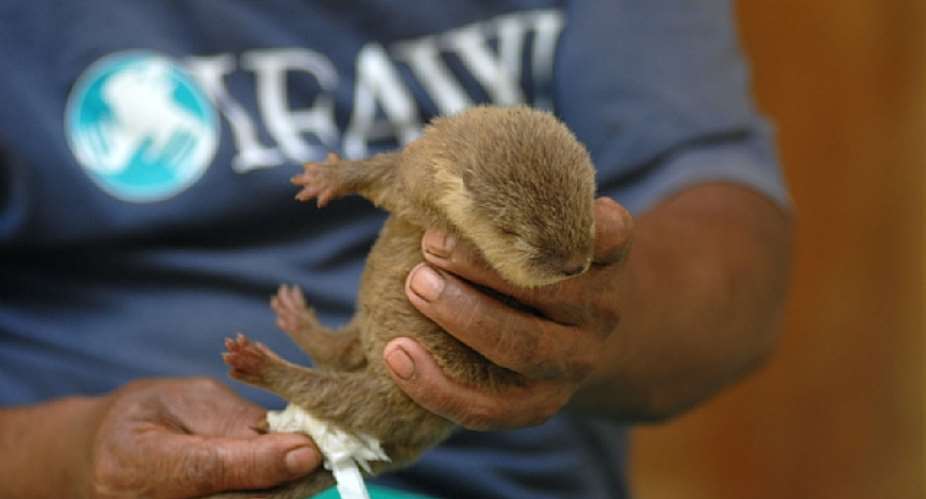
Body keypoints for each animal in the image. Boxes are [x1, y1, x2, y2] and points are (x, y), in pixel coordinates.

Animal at [222, 105, 597, 498]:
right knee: (336, 354)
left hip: (393, 393)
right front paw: (329, 176)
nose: (574, 265)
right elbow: (380, 175)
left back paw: (257, 362)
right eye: (520, 235)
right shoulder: (415, 172)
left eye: (587, 211)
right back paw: (294, 320)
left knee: (333, 390)